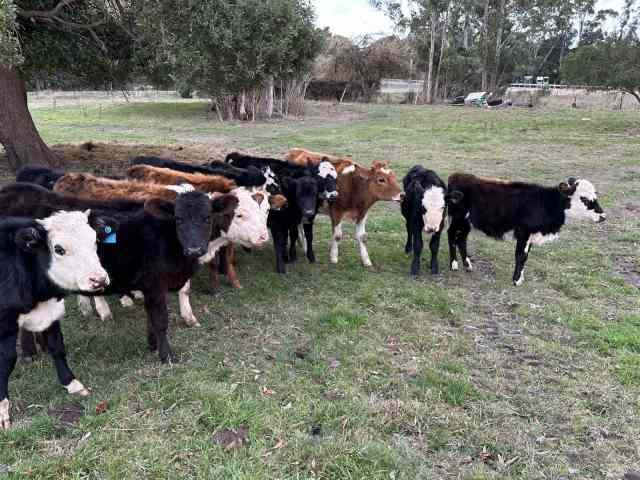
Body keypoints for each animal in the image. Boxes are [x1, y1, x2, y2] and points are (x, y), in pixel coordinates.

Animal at [0, 211, 111, 429]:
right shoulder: (6, 325)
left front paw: (72, 384)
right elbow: (6, 360)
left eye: (95, 240)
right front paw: (2, 410)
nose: (99, 279)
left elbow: (57, 347)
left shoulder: (52, 313)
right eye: (59, 249)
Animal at [446, 174, 606, 286]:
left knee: (461, 239)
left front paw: (521, 277)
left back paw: (467, 265)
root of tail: (457, 175)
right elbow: (520, 256)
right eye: (584, 199)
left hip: (466, 223)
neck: (545, 203)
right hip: (457, 219)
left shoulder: (531, 236)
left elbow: (526, 256)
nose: (603, 216)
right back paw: (453, 264)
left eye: (595, 196)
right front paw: (516, 280)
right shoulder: (524, 233)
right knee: (451, 236)